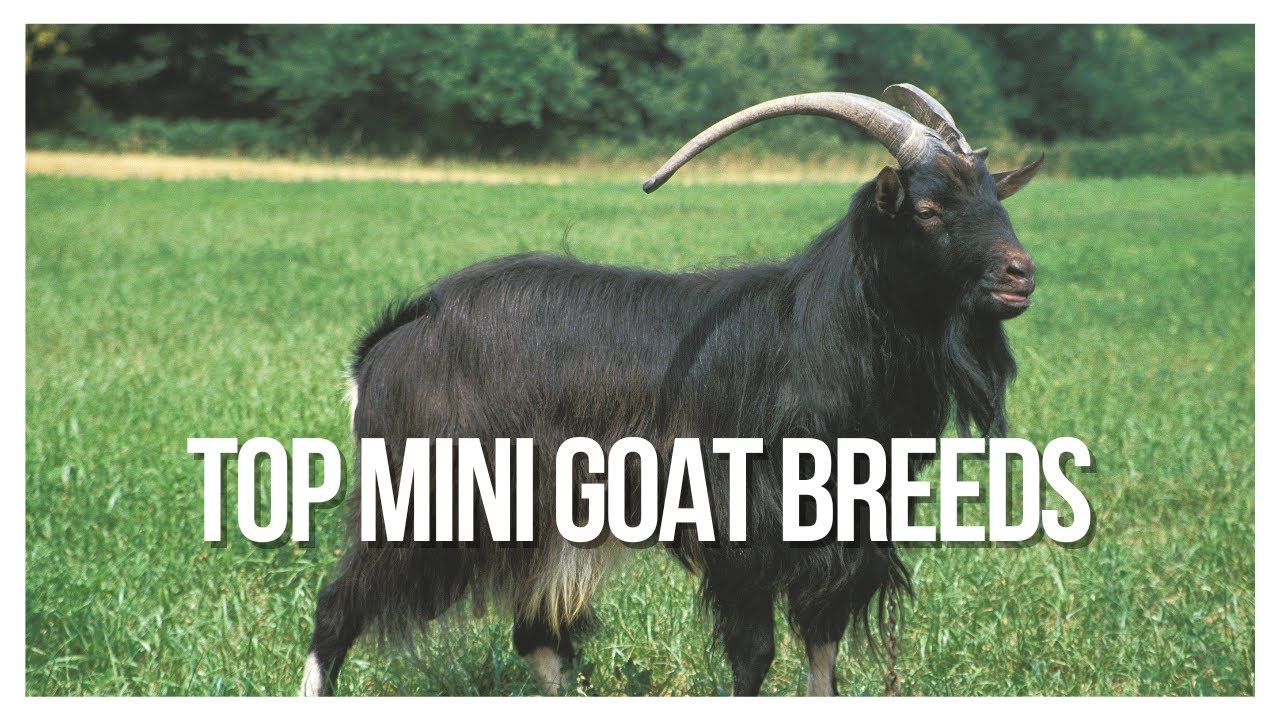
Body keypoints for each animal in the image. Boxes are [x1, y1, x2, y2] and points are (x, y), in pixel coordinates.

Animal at [300, 83, 1044, 696]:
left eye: (995, 199)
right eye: (929, 208)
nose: (1021, 273)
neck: (813, 335)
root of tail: (390, 342)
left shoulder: (843, 539)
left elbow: (821, 653)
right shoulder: (742, 534)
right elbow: (755, 652)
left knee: (538, 635)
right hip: (426, 498)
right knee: (338, 609)